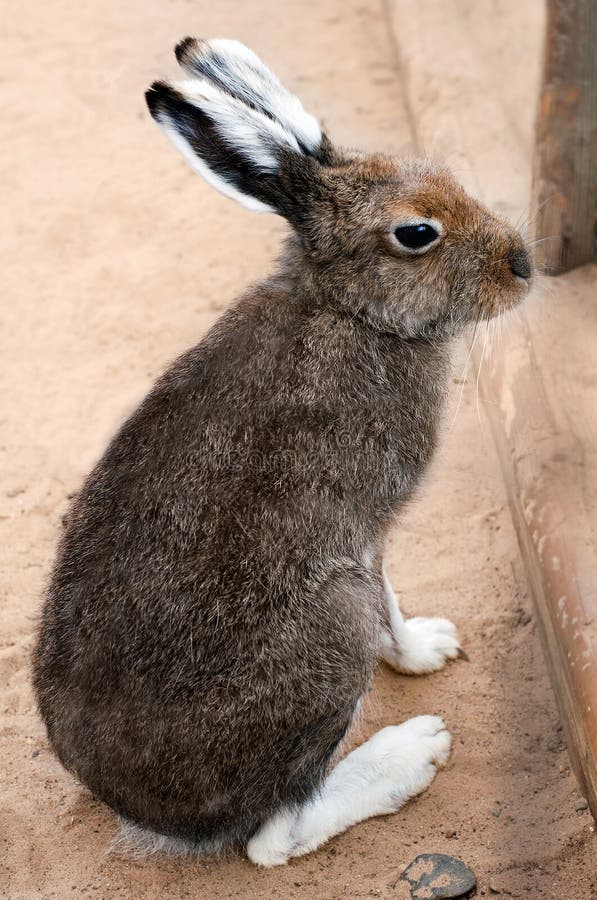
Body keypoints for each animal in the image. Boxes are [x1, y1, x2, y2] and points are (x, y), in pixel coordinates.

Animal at [32, 37, 533, 867]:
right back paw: (407, 756)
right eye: (416, 234)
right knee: (273, 838)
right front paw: (424, 651)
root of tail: (158, 819)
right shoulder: (362, 536)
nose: (521, 264)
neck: (349, 308)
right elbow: (389, 603)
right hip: (331, 630)